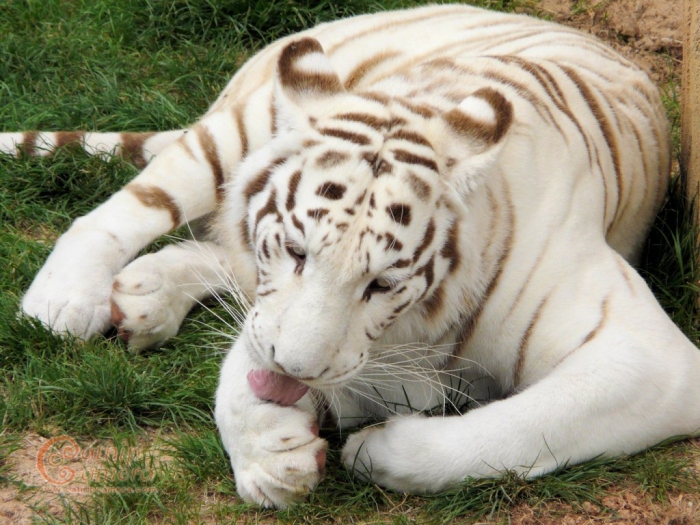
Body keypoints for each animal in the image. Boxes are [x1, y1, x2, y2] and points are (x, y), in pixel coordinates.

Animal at [5, 3, 700, 509]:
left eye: (383, 284)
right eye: (295, 251)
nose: (295, 370)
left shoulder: (649, 358)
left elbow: (531, 422)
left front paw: (375, 451)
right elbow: (250, 348)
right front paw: (269, 454)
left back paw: (145, 294)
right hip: (233, 134)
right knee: (130, 207)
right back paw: (65, 300)